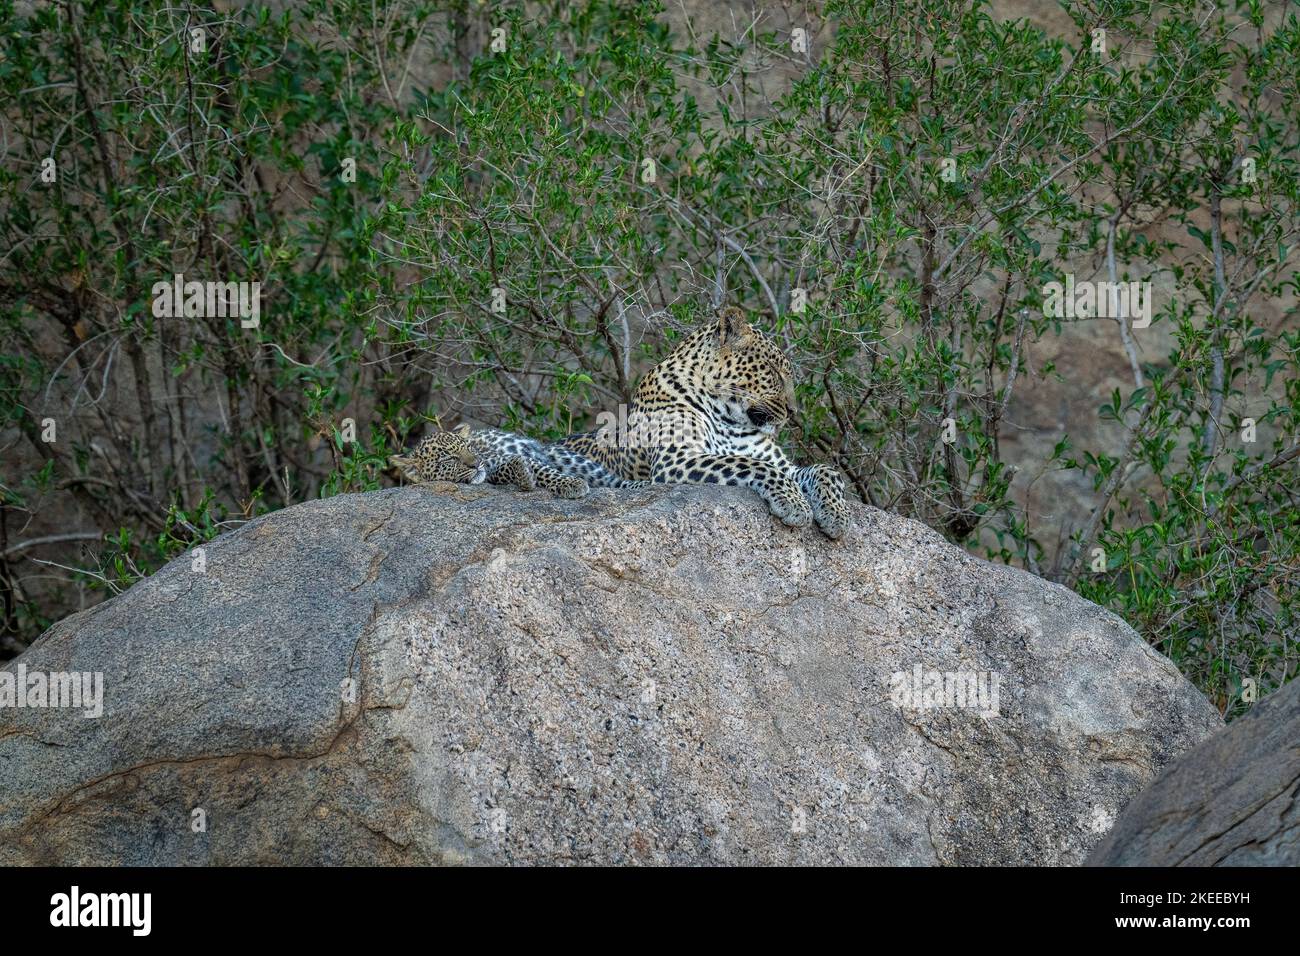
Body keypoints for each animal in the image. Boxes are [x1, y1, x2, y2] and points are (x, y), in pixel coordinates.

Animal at [390, 423, 645, 499]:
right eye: (448, 459)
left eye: (468, 448)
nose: (476, 463)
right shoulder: (493, 473)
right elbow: (509, 469)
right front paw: (524, 477)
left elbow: (543, 471)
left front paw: (570, 484)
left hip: (565, 457)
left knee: (611, 479)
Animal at [560, 306, 852, 539]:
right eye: (773, 371)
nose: (793, 411)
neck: (729, 417)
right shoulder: (676, 460)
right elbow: (753, 464)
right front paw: (795, 504)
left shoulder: (785, 465)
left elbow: (826, 470)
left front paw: (837, 515)